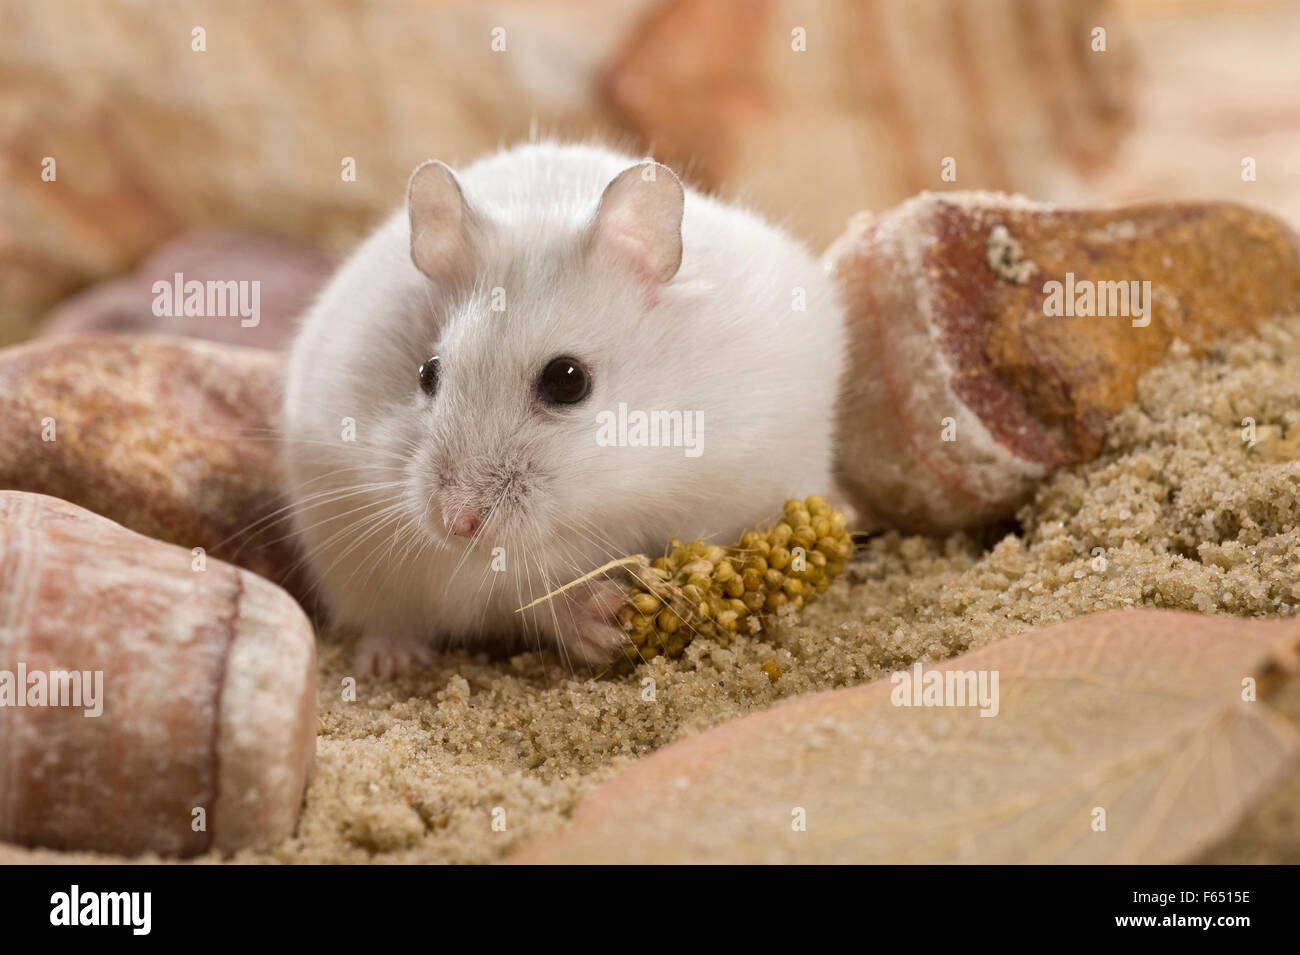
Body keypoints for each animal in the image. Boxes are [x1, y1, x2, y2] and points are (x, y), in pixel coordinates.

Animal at [282, 141, 846, 676]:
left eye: (567, 380)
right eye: (427, 373)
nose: (456, 523)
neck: (613, 496)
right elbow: (524, 596)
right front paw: (606, 620)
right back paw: (389, 662)